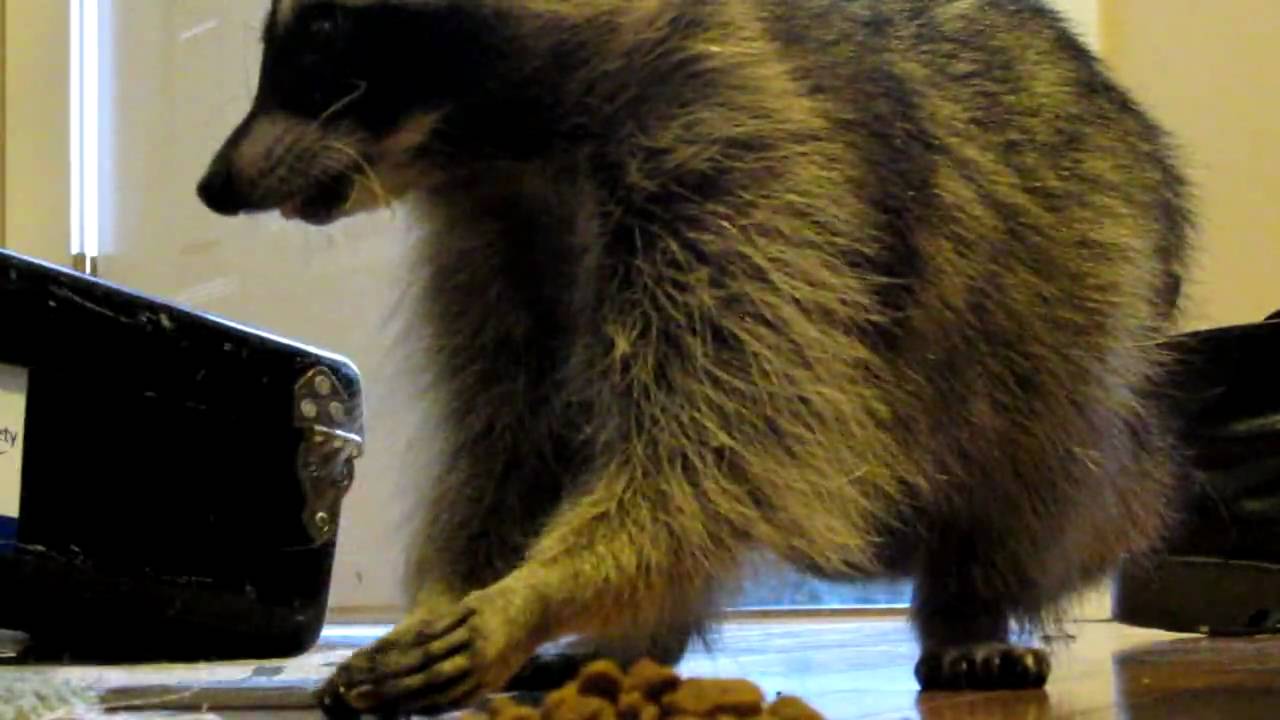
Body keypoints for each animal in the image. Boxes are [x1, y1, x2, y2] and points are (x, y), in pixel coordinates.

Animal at [196, 0, 1196, 715]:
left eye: (322, 35)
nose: (213, 186)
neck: (510, 145)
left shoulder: (740, 156)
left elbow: (715, 442)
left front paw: (538, 590)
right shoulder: (493, 238)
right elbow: (510, 437)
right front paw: (461, 581)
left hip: (1077, 266)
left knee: (1034, 450)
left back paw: (967, 603)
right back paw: (645, 640)